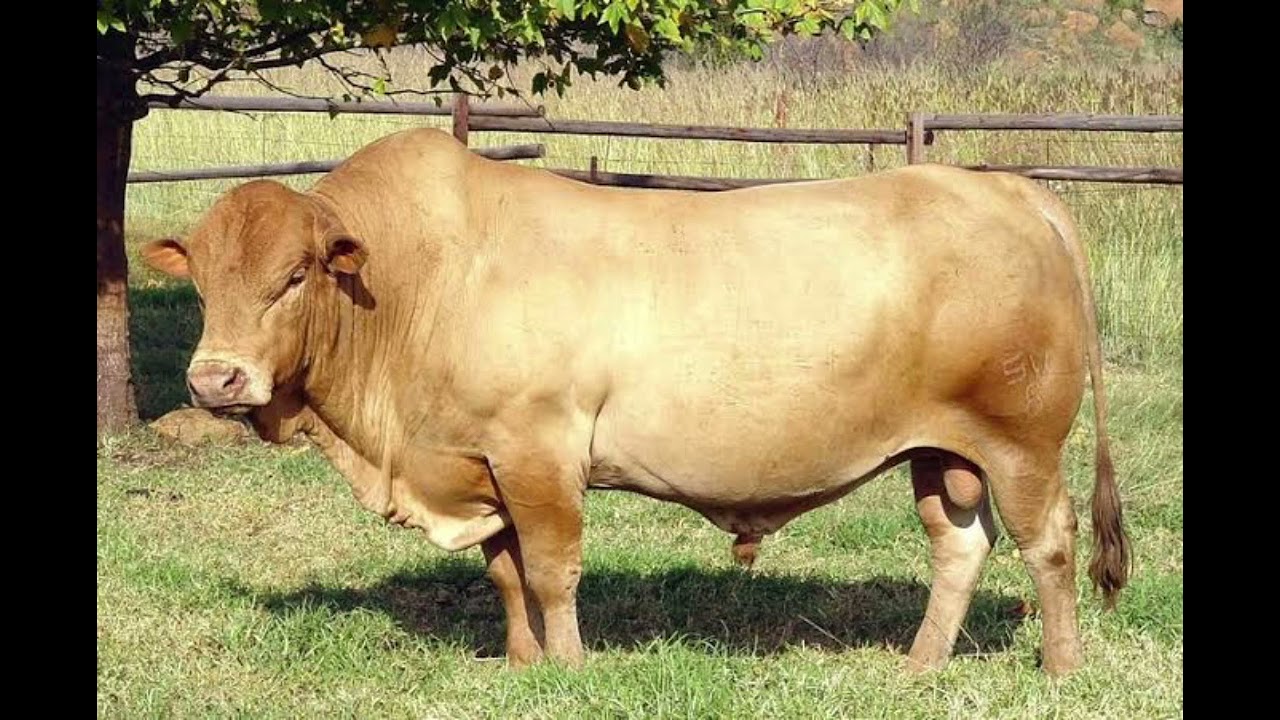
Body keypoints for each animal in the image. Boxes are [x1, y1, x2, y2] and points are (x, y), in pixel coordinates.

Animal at [142, 127, 1131, 677]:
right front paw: (521, 665)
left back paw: (1060, 669)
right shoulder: (481, 460)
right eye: (203, 280)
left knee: (1048, 543)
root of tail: (1005, 186)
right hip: (940, 451)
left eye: (293, 275)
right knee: (960, 546)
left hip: (1019, 442)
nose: (215, 380)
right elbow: (506, 571)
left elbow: (551, 570)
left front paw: (570, 670)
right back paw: (920, 669)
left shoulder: (538, 451)